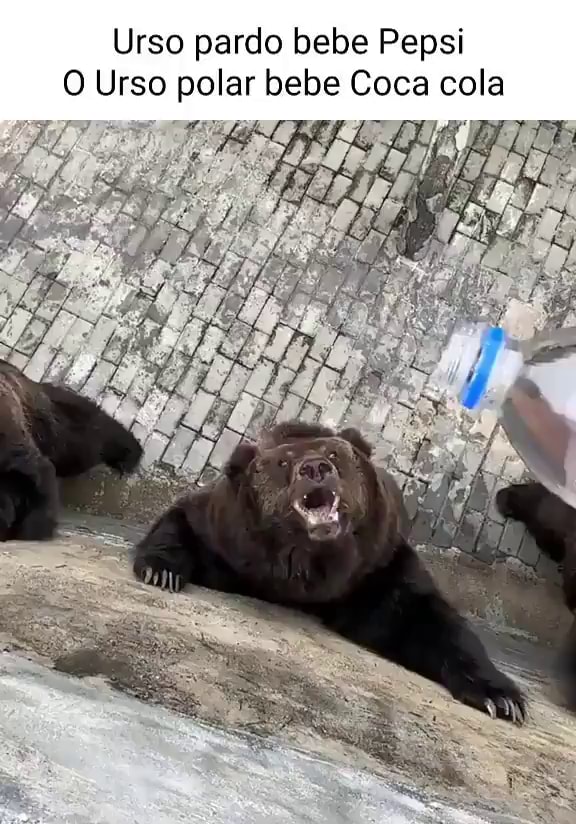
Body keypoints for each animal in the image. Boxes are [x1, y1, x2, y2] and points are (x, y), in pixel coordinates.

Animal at [0, 359, 142, 542]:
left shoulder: (11, 439)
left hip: (43, 418)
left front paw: (35, 528)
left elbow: (40, 476)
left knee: (80, 440)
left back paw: (128, 455)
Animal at [133, 419, 526, 725]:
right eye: (283, 462)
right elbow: (183, 521)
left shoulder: (374, 569)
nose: (315, 468)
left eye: (335, 454)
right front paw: (161, 571)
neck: (311, 564)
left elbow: (428, 620)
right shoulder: (233, 543)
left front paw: (502, 698)